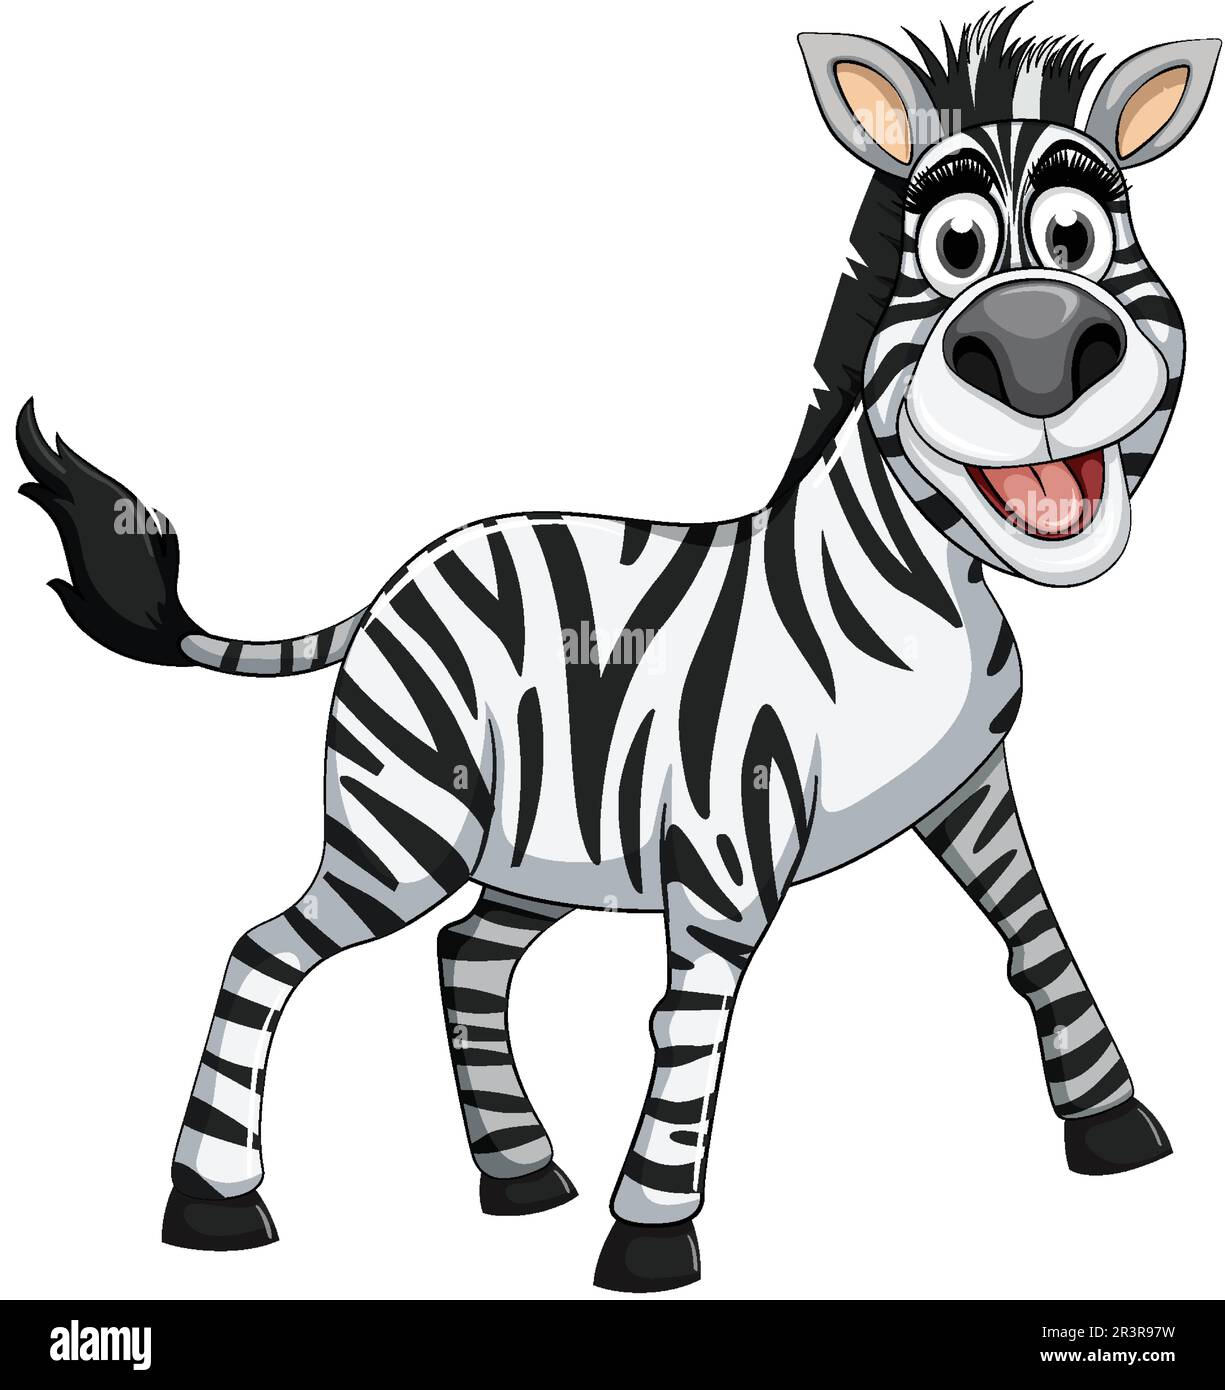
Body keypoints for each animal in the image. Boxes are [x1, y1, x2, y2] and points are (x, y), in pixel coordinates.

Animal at [17, 11, 1219, 1293]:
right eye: (947, 249)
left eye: (1081, 235)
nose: (1038, 346)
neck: (922, 586)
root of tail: (399, 580)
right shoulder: (726, 840)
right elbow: (689, 1028)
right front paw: (649, 1232)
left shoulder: (967, 787)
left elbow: (1037, 934)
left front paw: (1110, 1123)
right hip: (410, 828)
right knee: (267, 945)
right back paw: (216, 1197)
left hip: (540, 843)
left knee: (465, 955)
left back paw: (518, 1171)